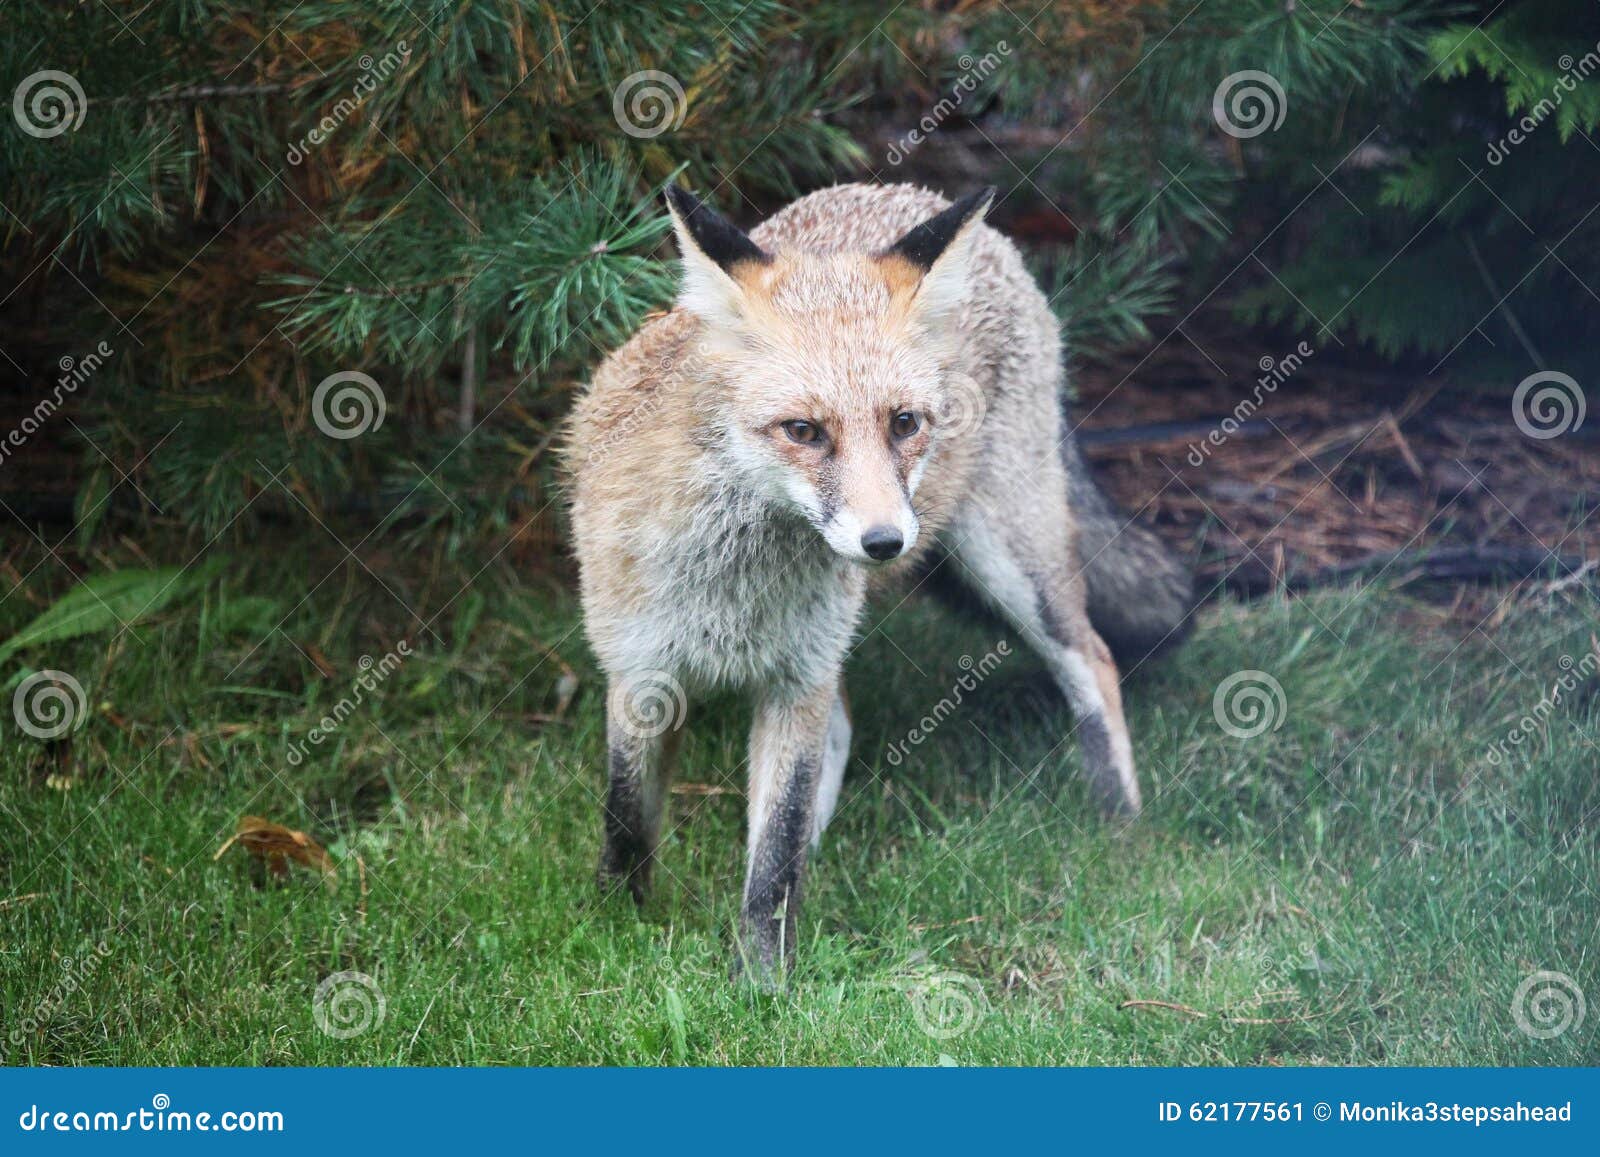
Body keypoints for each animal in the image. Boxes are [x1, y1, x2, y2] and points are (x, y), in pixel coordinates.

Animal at [564, 182, 1192, 981]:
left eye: (903, 423)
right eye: (803, 431)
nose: (886, 542)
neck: (736, 580)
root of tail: (913, 191)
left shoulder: (797, 678)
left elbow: (773, 857)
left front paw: (761, 983)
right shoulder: (641, 668)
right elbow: (626, 819)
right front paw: (617, 921)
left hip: (1008, 561)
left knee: (1095, 659)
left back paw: (1120, 823)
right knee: (845, 729)